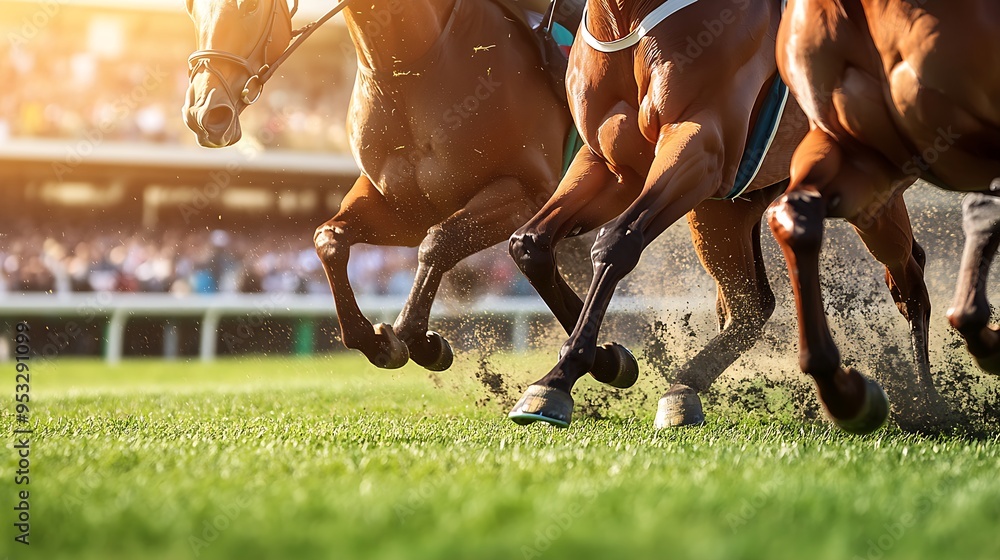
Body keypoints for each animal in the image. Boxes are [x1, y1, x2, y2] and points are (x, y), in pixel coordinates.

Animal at [182, 0, 622, 376]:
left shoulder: (525, 191)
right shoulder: (404, 209)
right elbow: (329, 239)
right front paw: (373, 339)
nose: (204, 112)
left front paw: (417, 337)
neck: (409, 68)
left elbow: (439, 242)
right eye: (189, 8)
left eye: (250, 6)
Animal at [506, 0, 932, 434]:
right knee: (752, 305)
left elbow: (617, 240)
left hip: (871, 195)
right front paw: (610, 360)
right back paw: (683, 388)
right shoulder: (611, 167)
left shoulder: (698, 144)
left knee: (910, 281)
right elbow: (530, 245)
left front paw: (560, 378)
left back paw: (929, 404)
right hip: (723, 211)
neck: (625, 18)